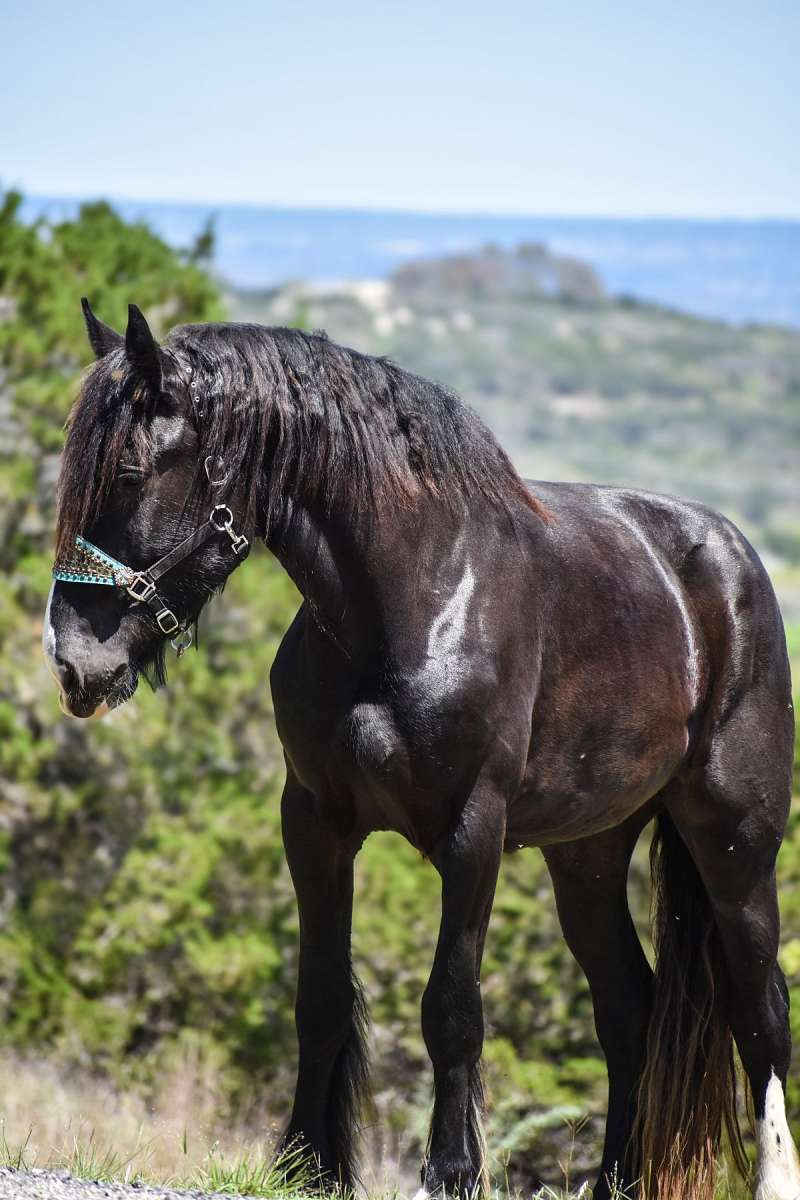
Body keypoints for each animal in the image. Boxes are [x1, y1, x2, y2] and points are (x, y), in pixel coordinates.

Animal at [43, 300, 797, 1200]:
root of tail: (730, 560)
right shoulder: (314, 822)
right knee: (632, 1015)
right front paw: (309, 1163)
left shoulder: (474, 833)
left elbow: (452, 1009)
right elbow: (321, 995)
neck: (412, 599)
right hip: (587, 854)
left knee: (761, 1014)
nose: (73, 663)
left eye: (127, 475)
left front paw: (450, 1172)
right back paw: (616, 1179)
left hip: (735, 846)